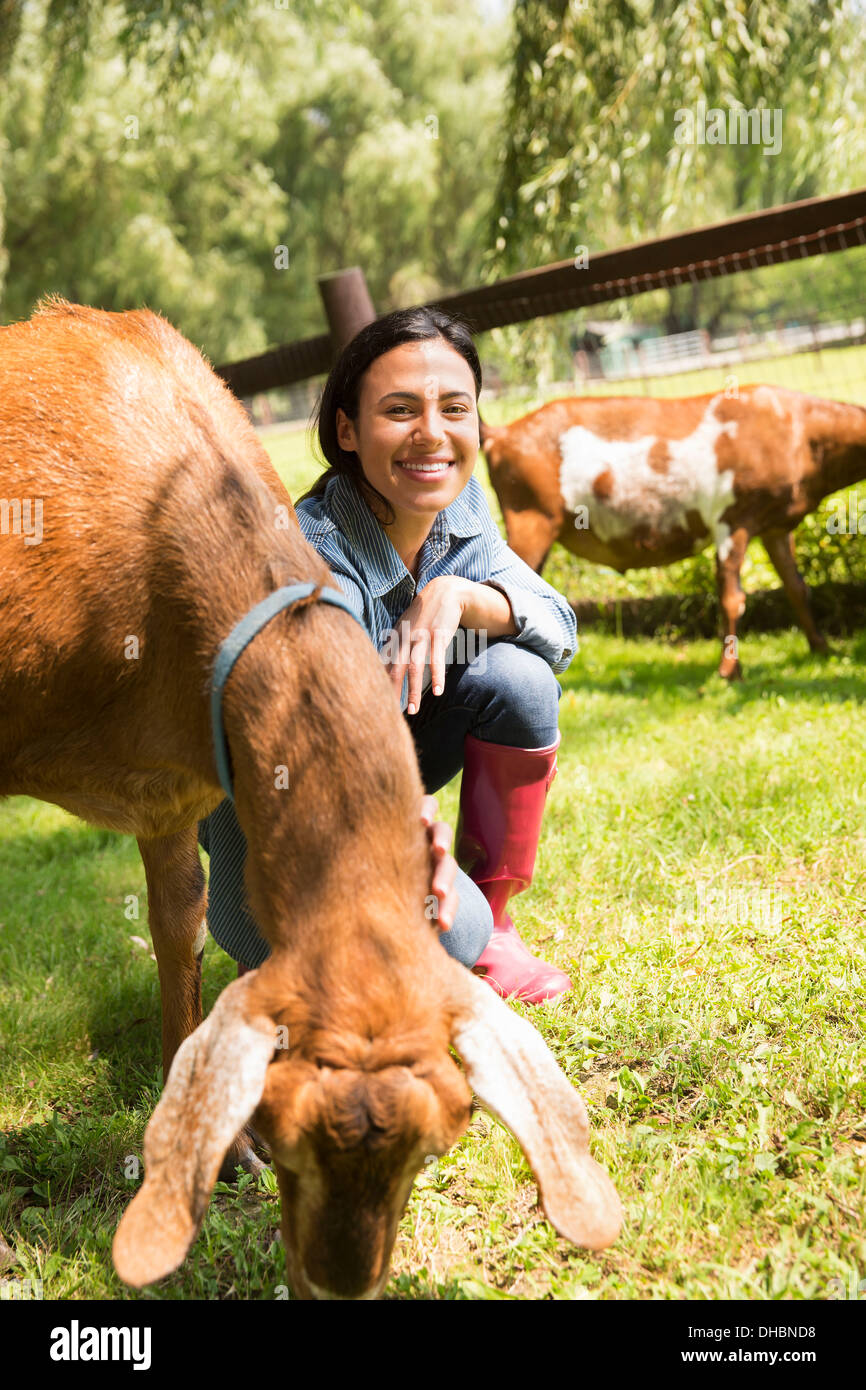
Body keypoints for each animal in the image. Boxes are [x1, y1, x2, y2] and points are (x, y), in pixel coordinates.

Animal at [0, 299, 621, 1300]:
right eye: (288, 1134)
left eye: (433, 1147)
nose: (337, 1279)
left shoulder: (176, 786)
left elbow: (180, 930)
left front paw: (213, 1151)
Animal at [480, 386, 866, 678]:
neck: (796, 428)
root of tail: (503, 434)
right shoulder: (732, 519)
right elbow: (732, 597)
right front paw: (729, 672)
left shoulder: (776, 526)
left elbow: (797, 587)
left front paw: (822, 648)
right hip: (532, 517)